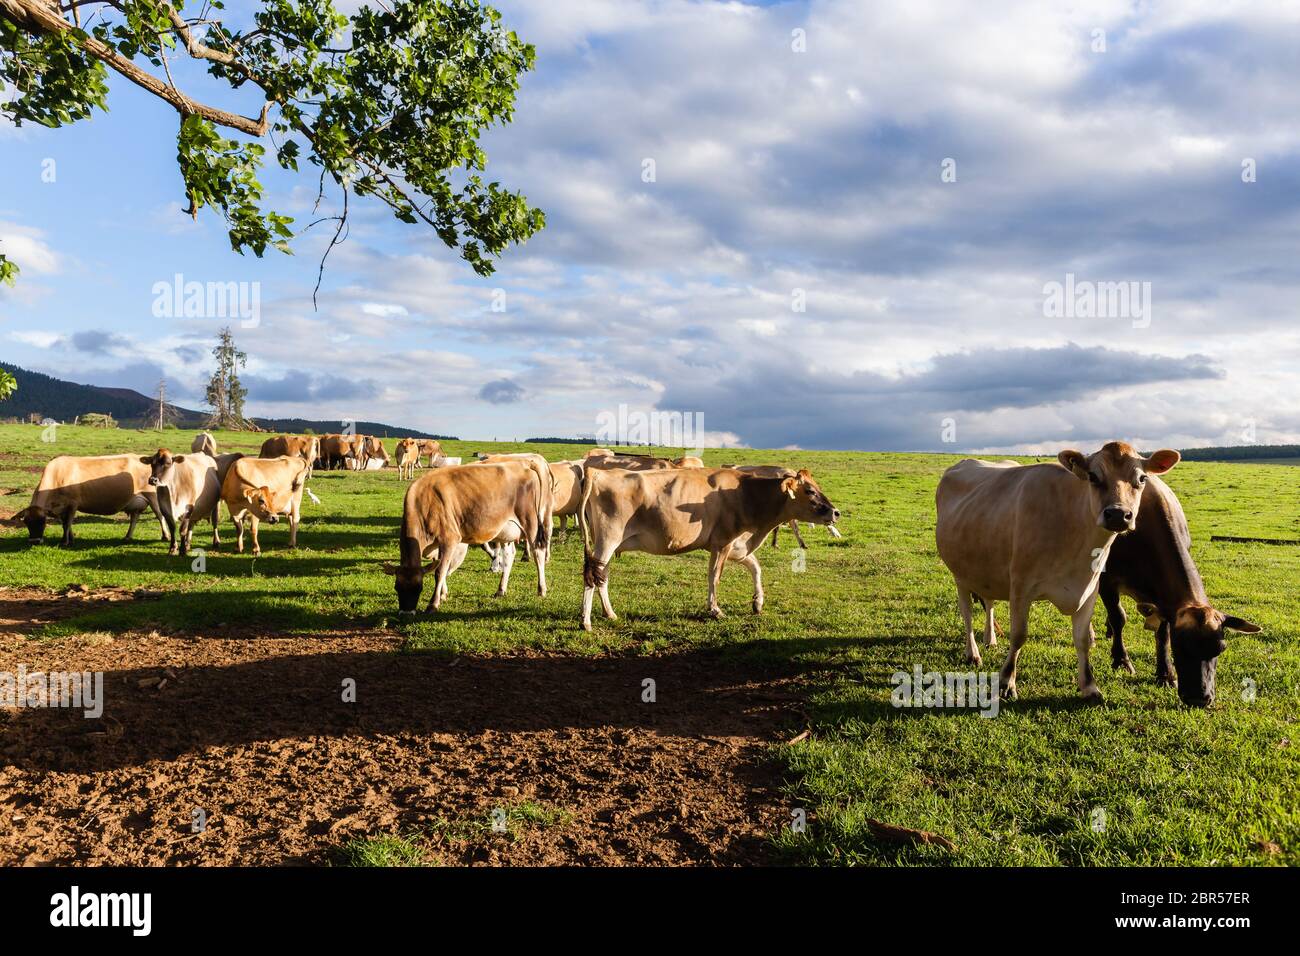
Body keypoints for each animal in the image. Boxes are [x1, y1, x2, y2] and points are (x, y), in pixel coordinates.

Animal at [382, 461, 549, 612]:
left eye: (419, 587)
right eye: (397, 587)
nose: (406, 613)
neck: (424, 502)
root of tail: (524, 465)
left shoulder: (449, 539)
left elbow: (440, 571)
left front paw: (433, 604)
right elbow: (443, 568)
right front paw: (443, 594)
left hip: (530, 521)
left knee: (538, 552)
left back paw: (541, 589)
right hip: (506, 530)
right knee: (509, 556)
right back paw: (500, 590)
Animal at [578, 467, 840, 630]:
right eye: (810, 491)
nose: (836, 512)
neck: (746, 495)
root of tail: (598, 472)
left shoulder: (738, 546)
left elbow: (756, 568)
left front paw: (757, 603)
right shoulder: (722, 542)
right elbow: (714, 576)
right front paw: (715, 610)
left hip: (606, 544)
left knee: (602, 577)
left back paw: (610, 614)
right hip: (607, 540)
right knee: (591, 578)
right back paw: (586, 622)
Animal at [935, 442, 1180, 702]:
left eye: (1142, 478)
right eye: (1093, 476)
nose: (1117, 514)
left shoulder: (1090, 590)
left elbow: (1083, 640)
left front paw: (1089, 686)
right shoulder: (1021, 586)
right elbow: (1019, 635)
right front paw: (1006, 682)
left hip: (985, 570)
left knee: (988, 602)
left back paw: (990, 639)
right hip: (960, 574)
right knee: (967, 613)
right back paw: (973, 652)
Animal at [1098, 475, 1260, 707]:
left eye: (1221, 649)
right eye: (1180, 646)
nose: (1199, 698)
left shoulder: (1163, 600)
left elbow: (1162, 631)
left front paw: (1165, 674)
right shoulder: (1106, 581)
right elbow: (1119, 617)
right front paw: (1121, 661)